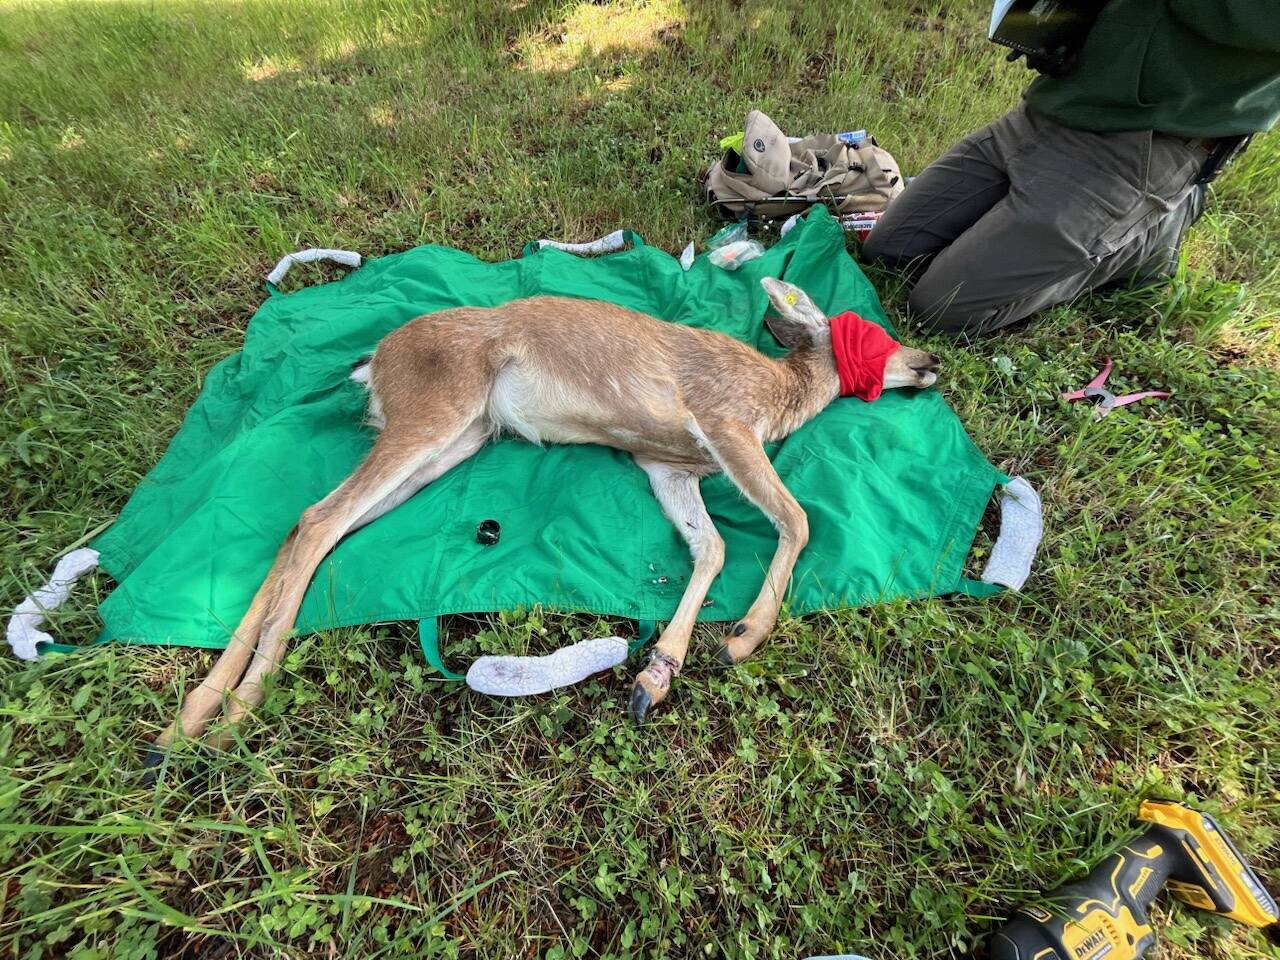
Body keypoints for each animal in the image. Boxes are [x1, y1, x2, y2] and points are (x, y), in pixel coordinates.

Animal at [148, 278, 939, 766]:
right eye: (870, 332)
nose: (930, 359)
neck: (779, 394)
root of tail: (375, 360)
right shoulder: (722, 419)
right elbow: (798, 519)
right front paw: (742, 638)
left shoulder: (666, 465)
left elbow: (711, 549)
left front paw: (657, 674)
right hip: (435, 410)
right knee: (318, 517)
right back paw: (236, 712)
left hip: (458, 439)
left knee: (316, 525)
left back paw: (190, 717)